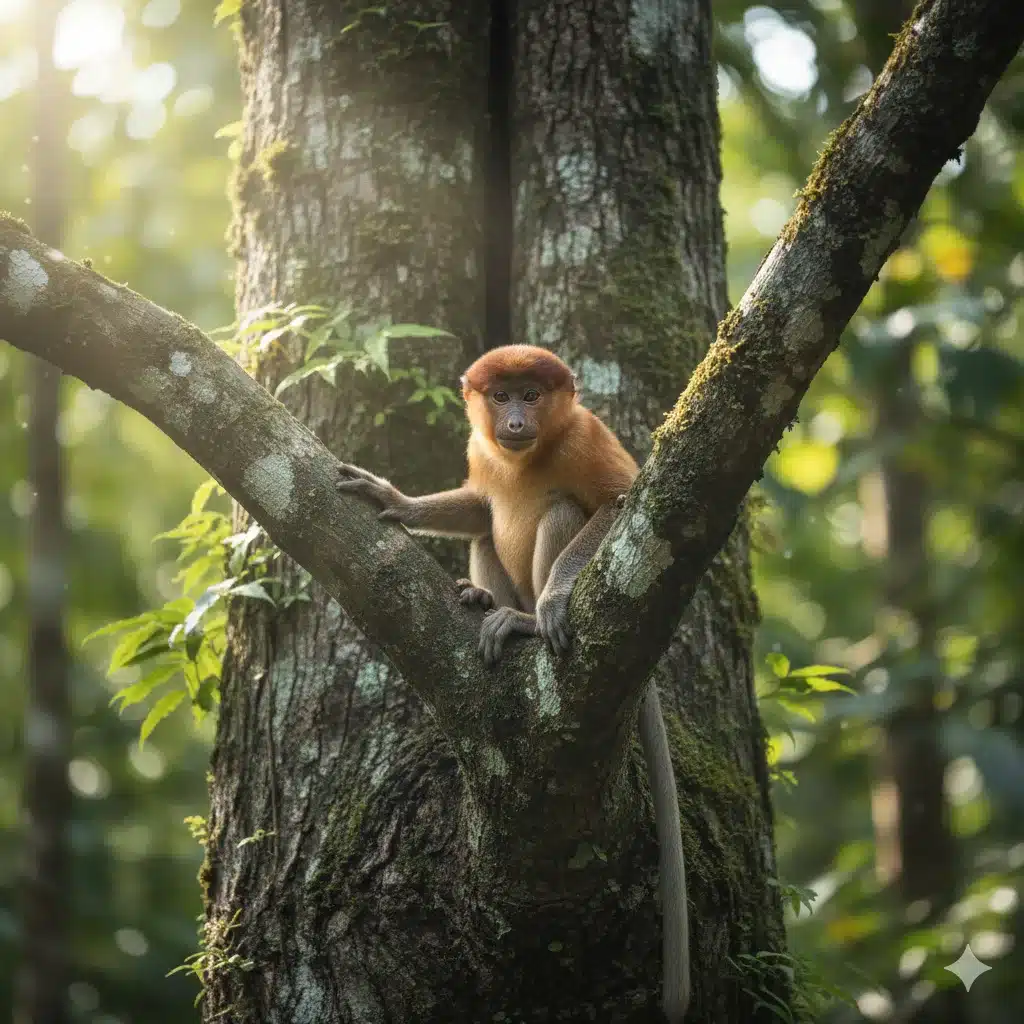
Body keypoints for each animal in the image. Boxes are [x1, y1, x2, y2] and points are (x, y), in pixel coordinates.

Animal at [336, 344, 690, 1022]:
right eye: (500, 397)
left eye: (531, 393)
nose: (518, 422)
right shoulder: (480, 450)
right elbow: (480, 504)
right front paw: (393, 500)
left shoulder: (584, 437)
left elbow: (615, 505)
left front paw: (552, 606)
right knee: (482, 529)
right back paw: (484, 601)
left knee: (562, 510)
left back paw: (527, 620)